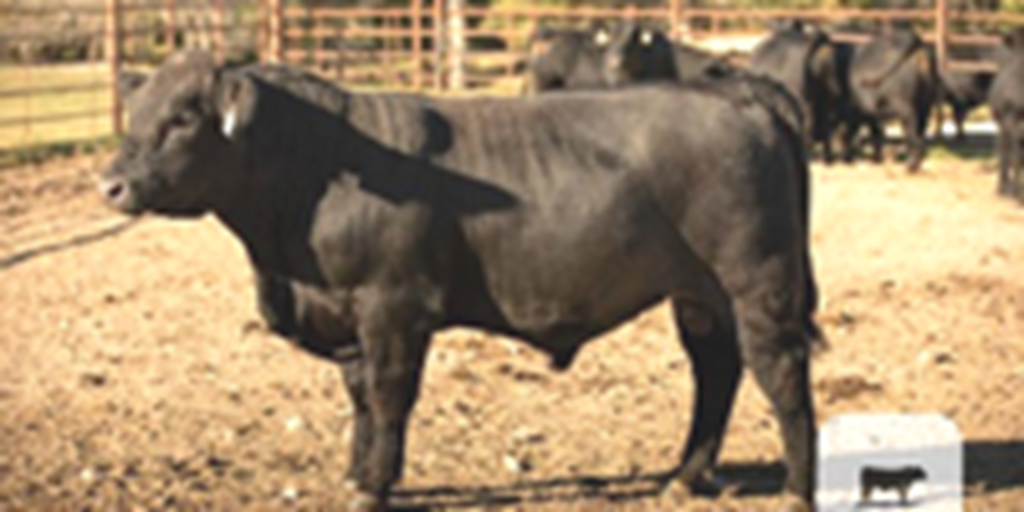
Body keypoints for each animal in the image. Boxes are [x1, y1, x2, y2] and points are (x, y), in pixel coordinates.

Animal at [99, 51, 820, 510]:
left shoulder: (394, 309)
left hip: (759, 283)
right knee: (716, 370)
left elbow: (389, 398)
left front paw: (375, 486)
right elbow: (360, 400)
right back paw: (687, 476)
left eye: (183, 117)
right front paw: (357, 474)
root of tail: (736, 90)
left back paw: (797, 489)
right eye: (136, 115)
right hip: (699, 297)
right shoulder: (350, 321)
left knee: (781, 376)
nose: (112, 182)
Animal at [844, 25, 938, 172]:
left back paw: (910, 166)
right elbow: (875, 133)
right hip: (925, 107)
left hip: (905, 108)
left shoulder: (859, 112)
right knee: (920, 134)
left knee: (913, 136)